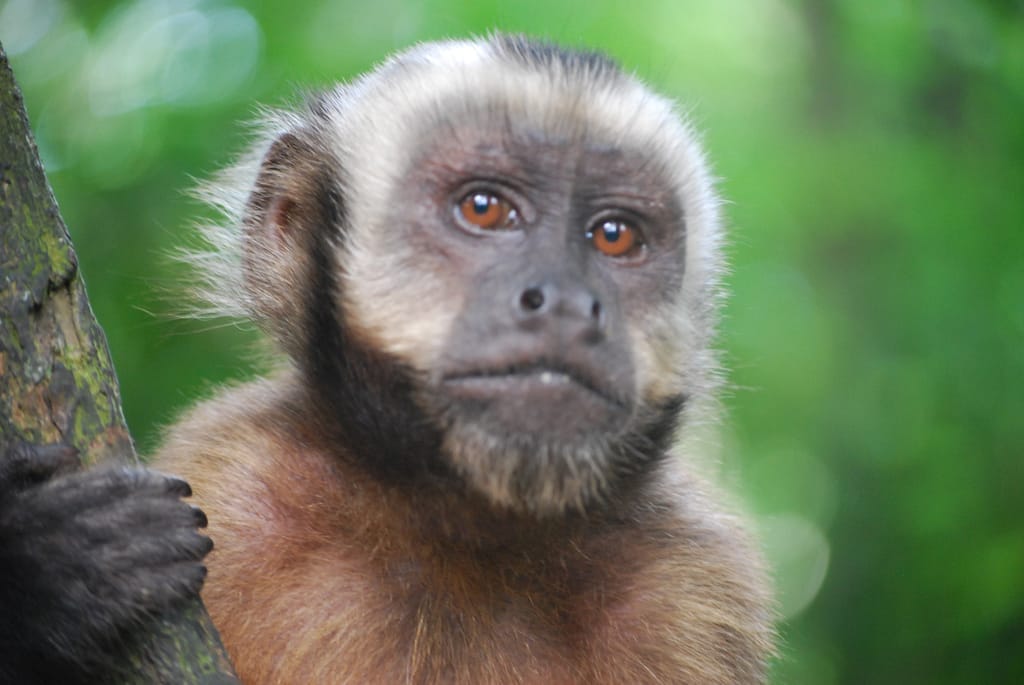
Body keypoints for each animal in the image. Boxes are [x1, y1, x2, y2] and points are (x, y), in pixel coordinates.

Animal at [154, 34, 774, 684]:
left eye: (614, 235)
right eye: (483, 207)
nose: (566, 302)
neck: (460, 521)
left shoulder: (696, 577)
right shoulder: (236, 484)